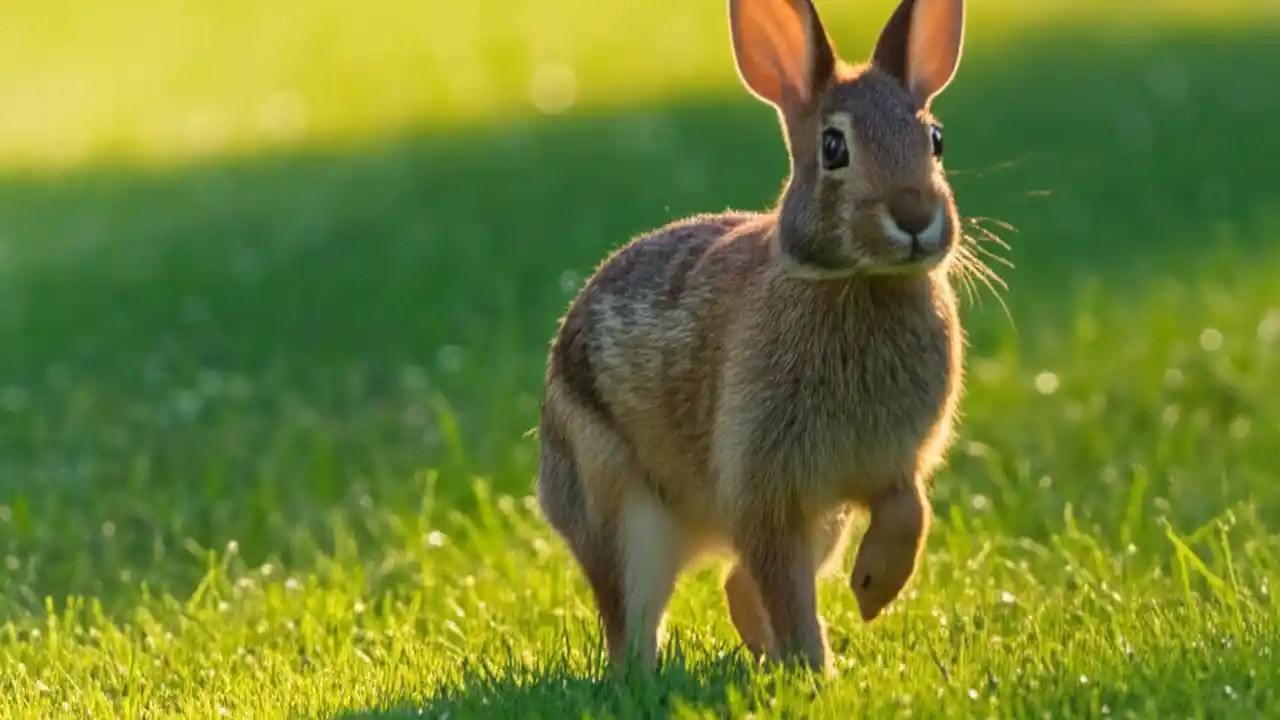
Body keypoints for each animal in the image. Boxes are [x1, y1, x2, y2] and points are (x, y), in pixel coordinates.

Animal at [538, 0, 967, 673]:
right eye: (834, 147)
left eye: (936, 139)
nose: (916, 216)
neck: (857, 280)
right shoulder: (765, 489)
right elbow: (786, 590)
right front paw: (817, 672)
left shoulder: (885, 470)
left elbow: (908, 512)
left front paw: (871, 590)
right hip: (616, 502)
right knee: (634, 617)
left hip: (824, 525)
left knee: (736, 582)